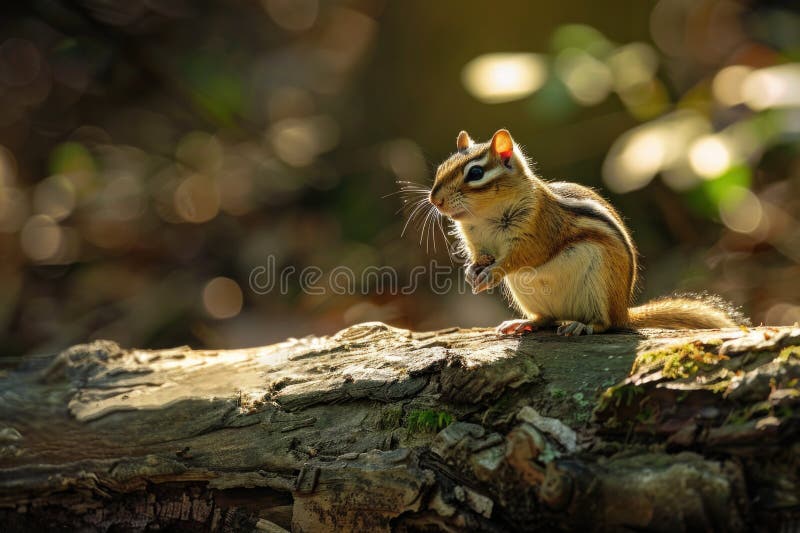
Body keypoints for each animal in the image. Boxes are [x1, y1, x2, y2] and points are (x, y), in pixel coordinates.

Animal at [428, 128, 748, 336]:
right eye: (441, 168)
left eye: (476, 173)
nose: (435, 199)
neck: (484, 217)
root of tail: (624, 311)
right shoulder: (477, 242)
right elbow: (480, 257)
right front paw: (472, 271)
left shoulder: (539, 229)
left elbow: (523, 256)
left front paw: (493, 273)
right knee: (548, 318)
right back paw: (524, 322)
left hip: (601, 284)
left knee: (605, 325)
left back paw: (583, 325)